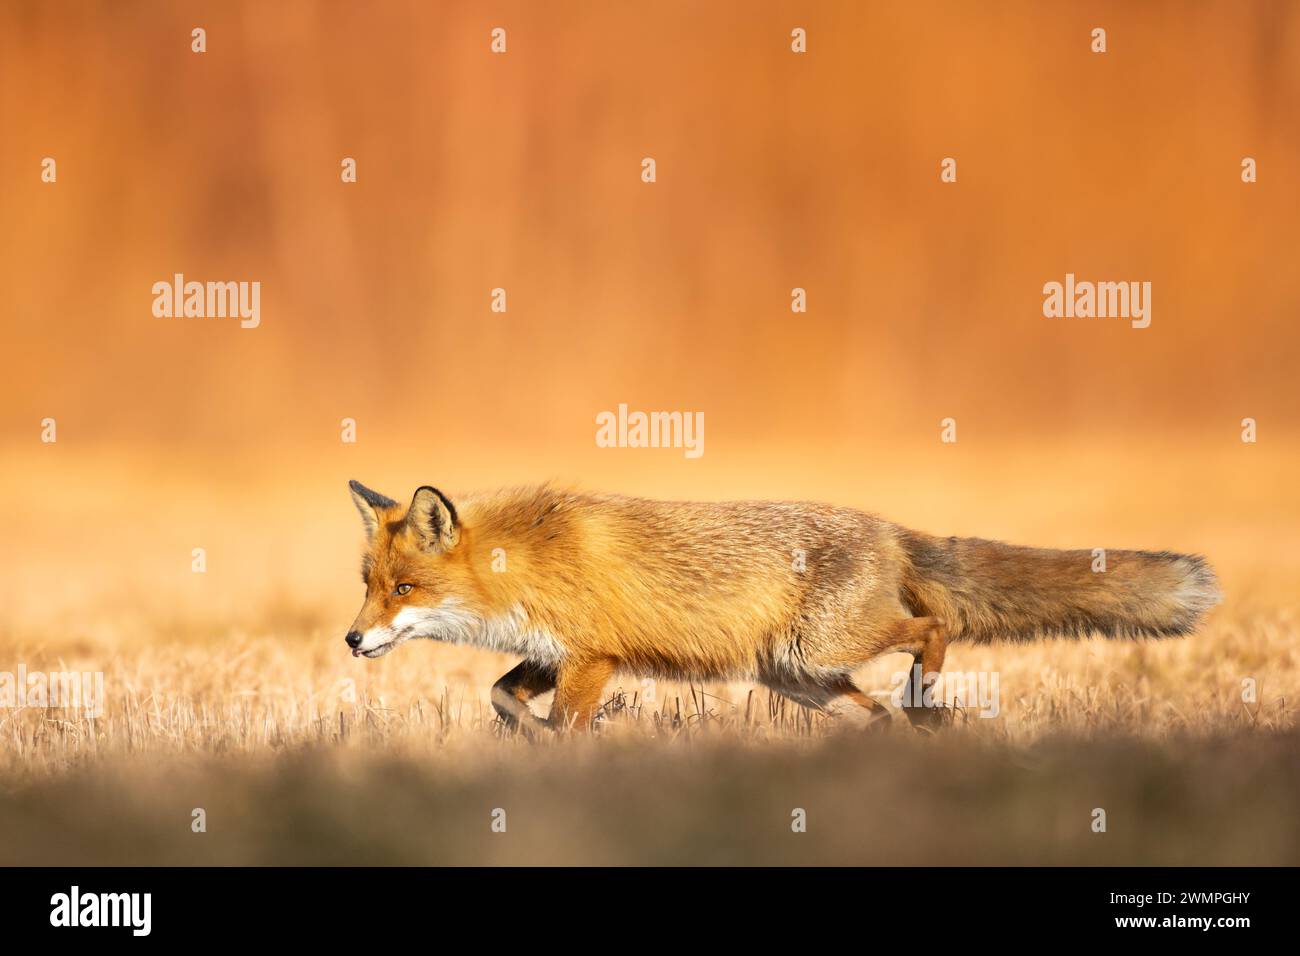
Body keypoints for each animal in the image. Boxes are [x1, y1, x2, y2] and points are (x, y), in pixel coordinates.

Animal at [343, 479, 1220, 733]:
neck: (523, 558)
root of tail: (887, 528)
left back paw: (929, 703)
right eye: (367, 583)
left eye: (403, 590)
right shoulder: (554, 654)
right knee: (875, 716)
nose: (351, 640)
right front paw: (519, 738)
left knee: (932, 628)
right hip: (799, 676)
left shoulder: (593, 656)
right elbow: (500, 696)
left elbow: (564, 727)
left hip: (821, 651)